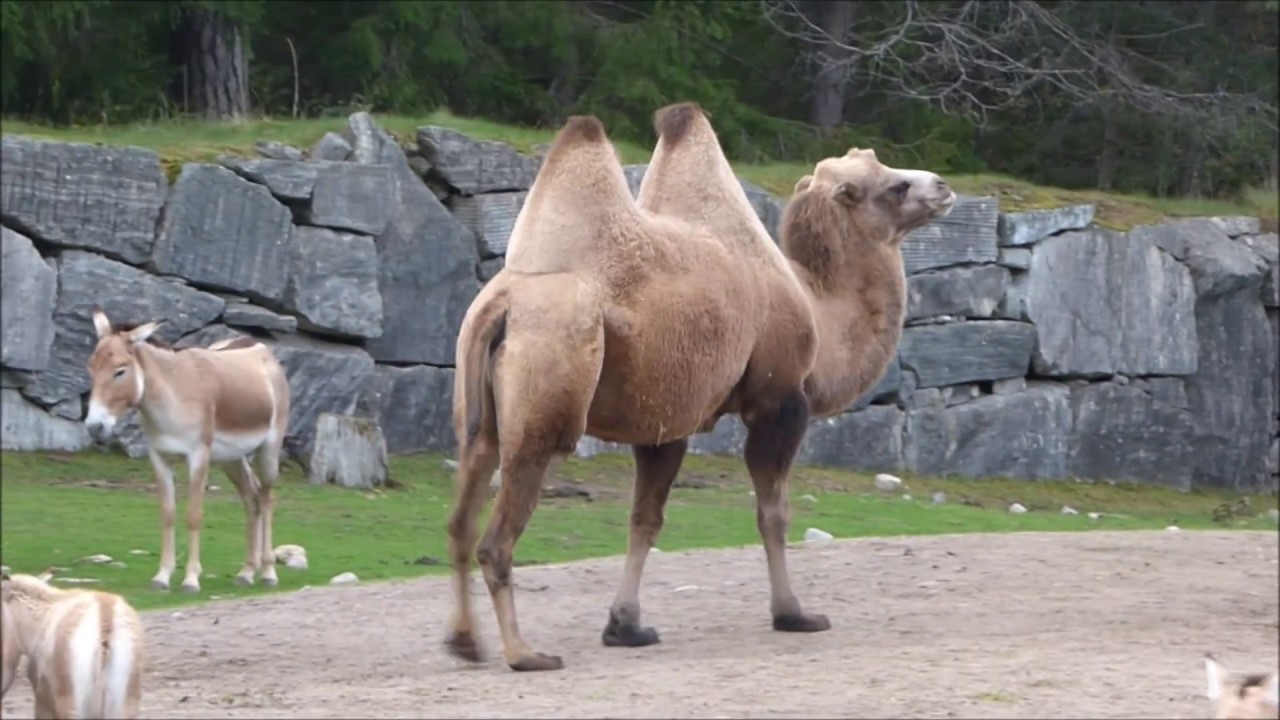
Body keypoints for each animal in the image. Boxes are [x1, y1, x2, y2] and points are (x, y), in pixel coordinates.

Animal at [83, 309, 291, 593]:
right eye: (91, 367)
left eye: (120, 371)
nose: (94, 427)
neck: (171, 398)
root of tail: (258, 345)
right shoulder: (159, 457)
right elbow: (168, 514)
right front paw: (162, 576)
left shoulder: (198, 456)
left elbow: (194, 515)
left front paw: (191, 579)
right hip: (231, 458)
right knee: (252, 497)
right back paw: (247, 572)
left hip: (269, 449)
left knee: (268, 497)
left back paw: (269, 572)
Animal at [444, 102, 956, 672]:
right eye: (893, 186)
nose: (942, 185)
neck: (817, 310)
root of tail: (505, 302)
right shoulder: (778, 402)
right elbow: (773, 514)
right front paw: (794, 614)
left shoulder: (666, 422)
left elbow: (644, 519)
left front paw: (626, 626)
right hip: (547, 389)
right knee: (498, 535)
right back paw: (525, 653)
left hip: (477, 409)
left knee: (461, 518)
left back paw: (466, 642)